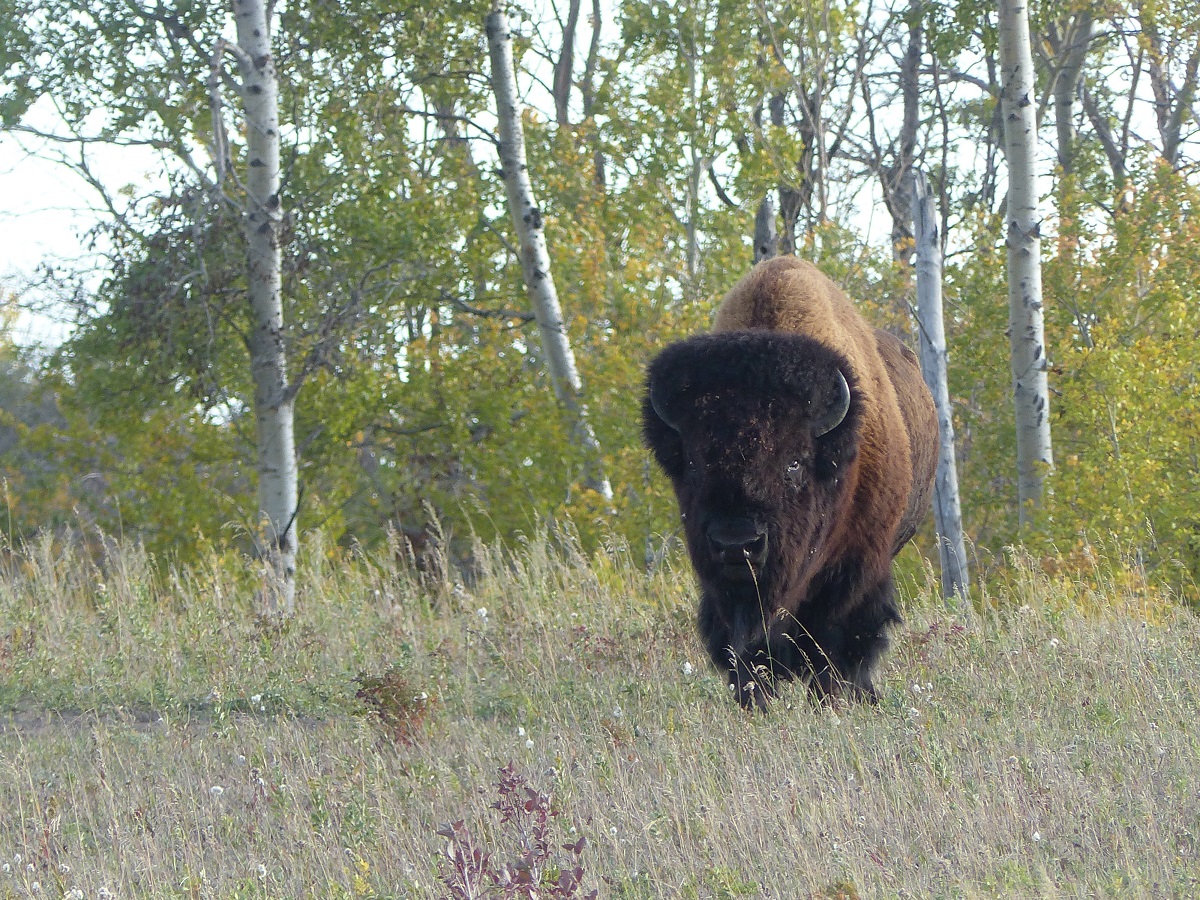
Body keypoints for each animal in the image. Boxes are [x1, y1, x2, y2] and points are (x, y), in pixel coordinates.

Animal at [643, 257, 937, 709]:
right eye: (693, 465)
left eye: (794, 464)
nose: (737, 544)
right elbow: (744, 653)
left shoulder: (856, 569)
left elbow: (837, 644)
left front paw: (831, 701)